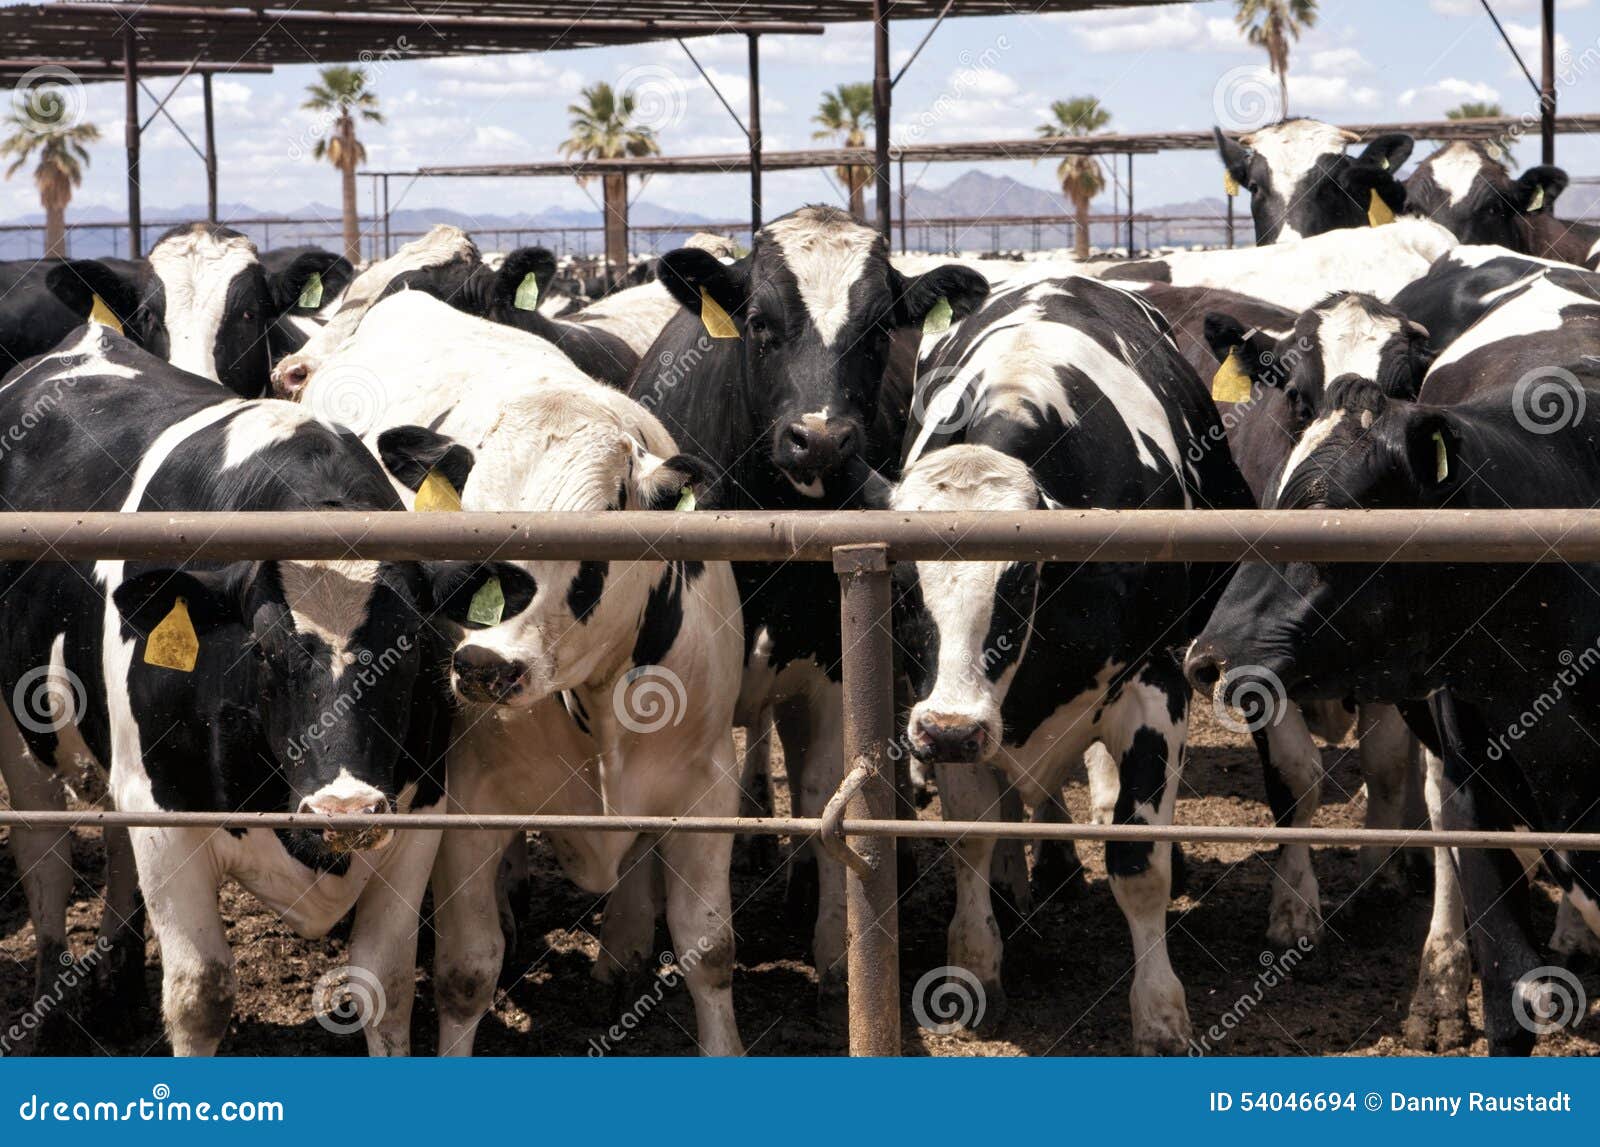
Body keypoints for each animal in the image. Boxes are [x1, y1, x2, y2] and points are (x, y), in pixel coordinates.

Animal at [0, 323, 517, 1055]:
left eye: (412, 643)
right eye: (265, 649)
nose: (345, 810)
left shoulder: (420, 813)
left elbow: (384, 984)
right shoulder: (165, 819)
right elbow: (201, 995)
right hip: (22, 742)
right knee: (43, 861)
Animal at [299, 289, 748, 1055]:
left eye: (595, 536)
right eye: (463, 530)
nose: (484, 663)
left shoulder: (707, 788)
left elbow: (709, 951)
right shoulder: (469, 803)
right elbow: (467, 971)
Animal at [630, 204, 988, 1006]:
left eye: (880, 330)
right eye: (760, 322)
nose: (819, 439)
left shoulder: (834, 656)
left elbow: (829, 785)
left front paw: (837, 947)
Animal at [890, 273, 1252, 1054]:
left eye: (1020, 580)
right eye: (902, 583)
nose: (952, 730)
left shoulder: (1154, 687)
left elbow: (1137, 862)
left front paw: (1160, 1012)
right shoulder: (946, 714)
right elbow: (972, 838)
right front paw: (976, 962)